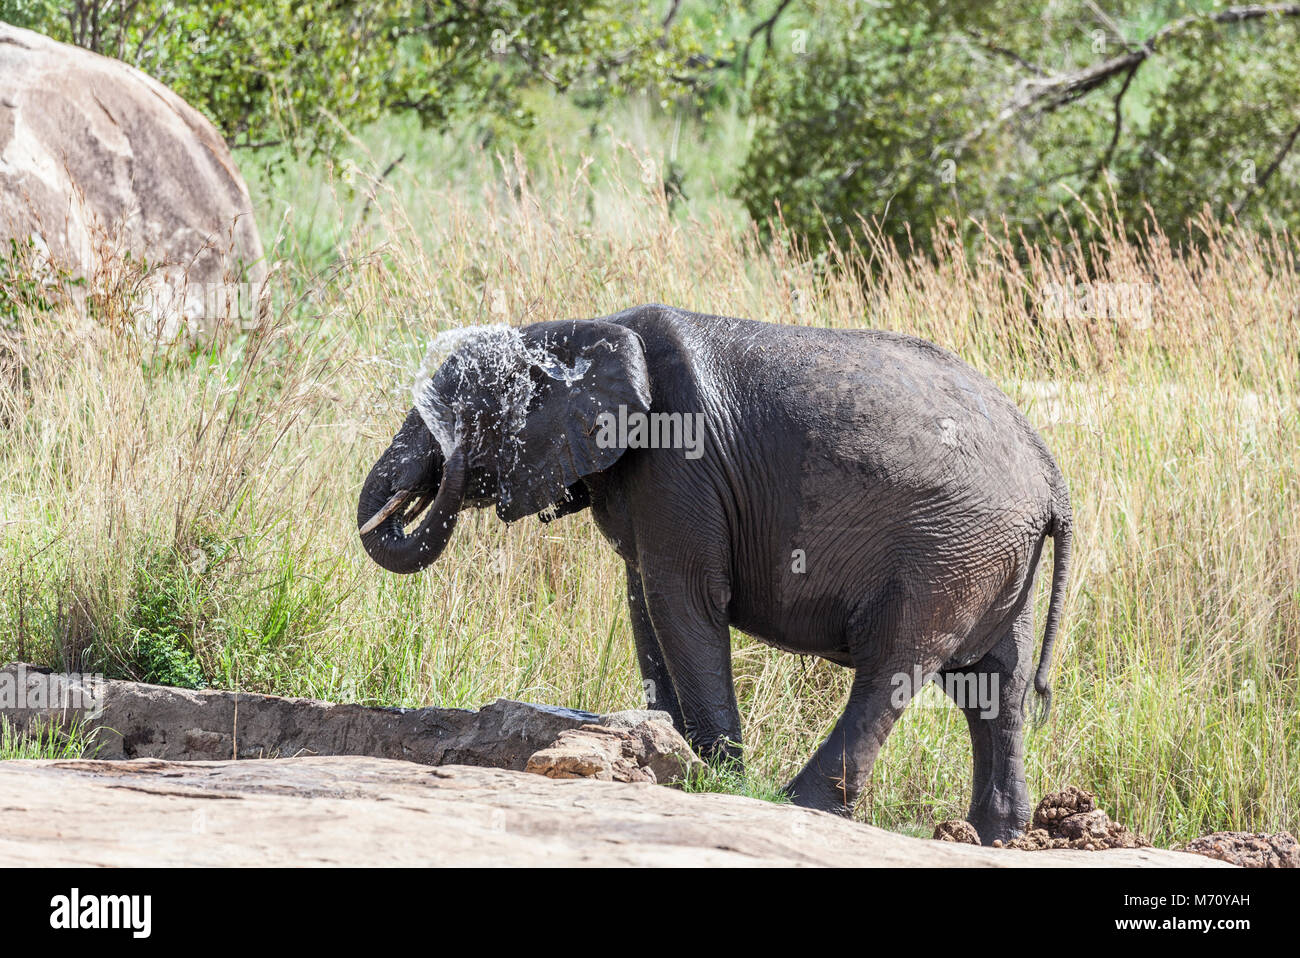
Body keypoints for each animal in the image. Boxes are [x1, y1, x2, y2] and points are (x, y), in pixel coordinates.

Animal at [357, 304, 1072, 844]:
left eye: (456, 409)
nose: (448, 466)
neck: (585, 325)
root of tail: (1049, 469)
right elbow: (646, 606)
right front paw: (663, 755)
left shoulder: (680, 459)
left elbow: (684, 603)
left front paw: (716, 778)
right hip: (993, 555)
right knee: (994, 686)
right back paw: (996, 837)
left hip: (948, 550)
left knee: (894, 667)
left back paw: (796, 803)